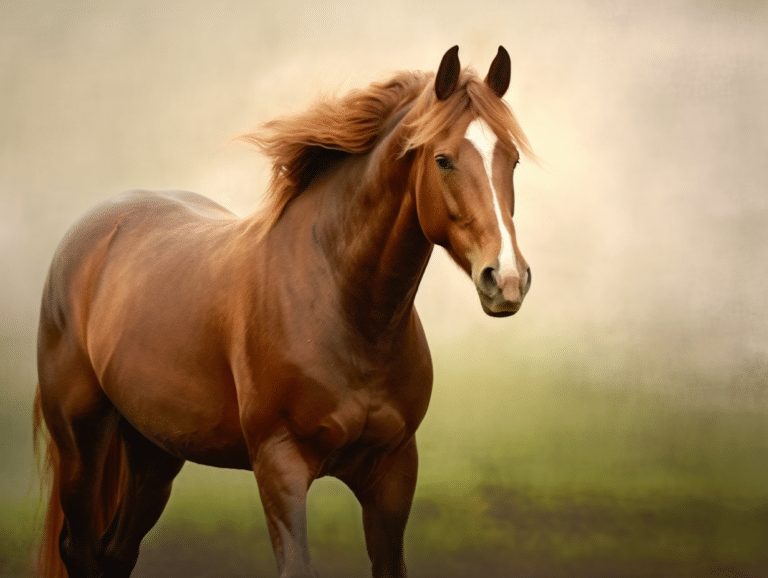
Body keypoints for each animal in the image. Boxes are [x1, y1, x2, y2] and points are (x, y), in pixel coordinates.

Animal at [33, 45, 533, 578]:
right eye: (443, 159)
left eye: (513, 160)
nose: (506, 279)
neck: (345, 310)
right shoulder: (280, 465)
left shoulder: (394, 469)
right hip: (82, 443)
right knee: (80, 549)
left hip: (155, 453)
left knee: (115, 552)